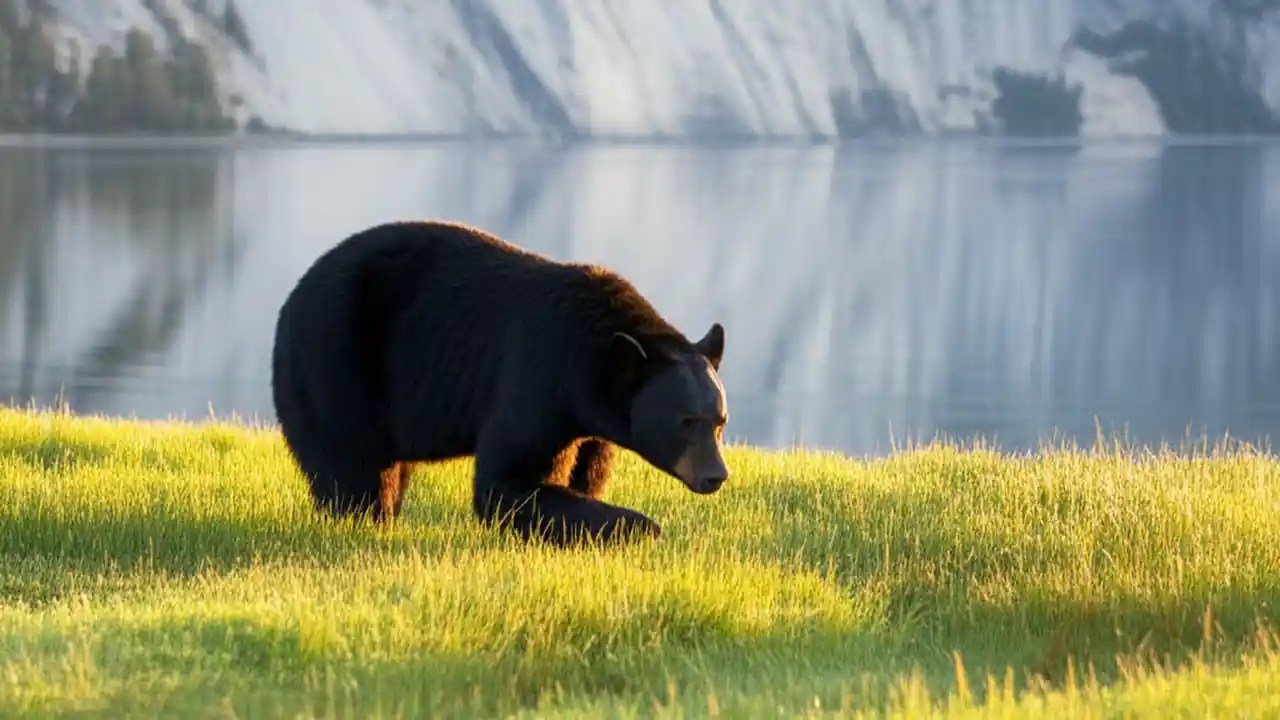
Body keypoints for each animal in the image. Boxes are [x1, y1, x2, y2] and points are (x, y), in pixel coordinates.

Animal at [270, 219, 730, 546]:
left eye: (719, 421)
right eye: (686, 421)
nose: (716, 475)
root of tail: (291, 298)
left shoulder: (589, 426)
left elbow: (586, 470)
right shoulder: (539, 377)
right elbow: (507, 479)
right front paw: (640, 525)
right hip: (334, 361)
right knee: (353, 465)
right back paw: (365, 521)